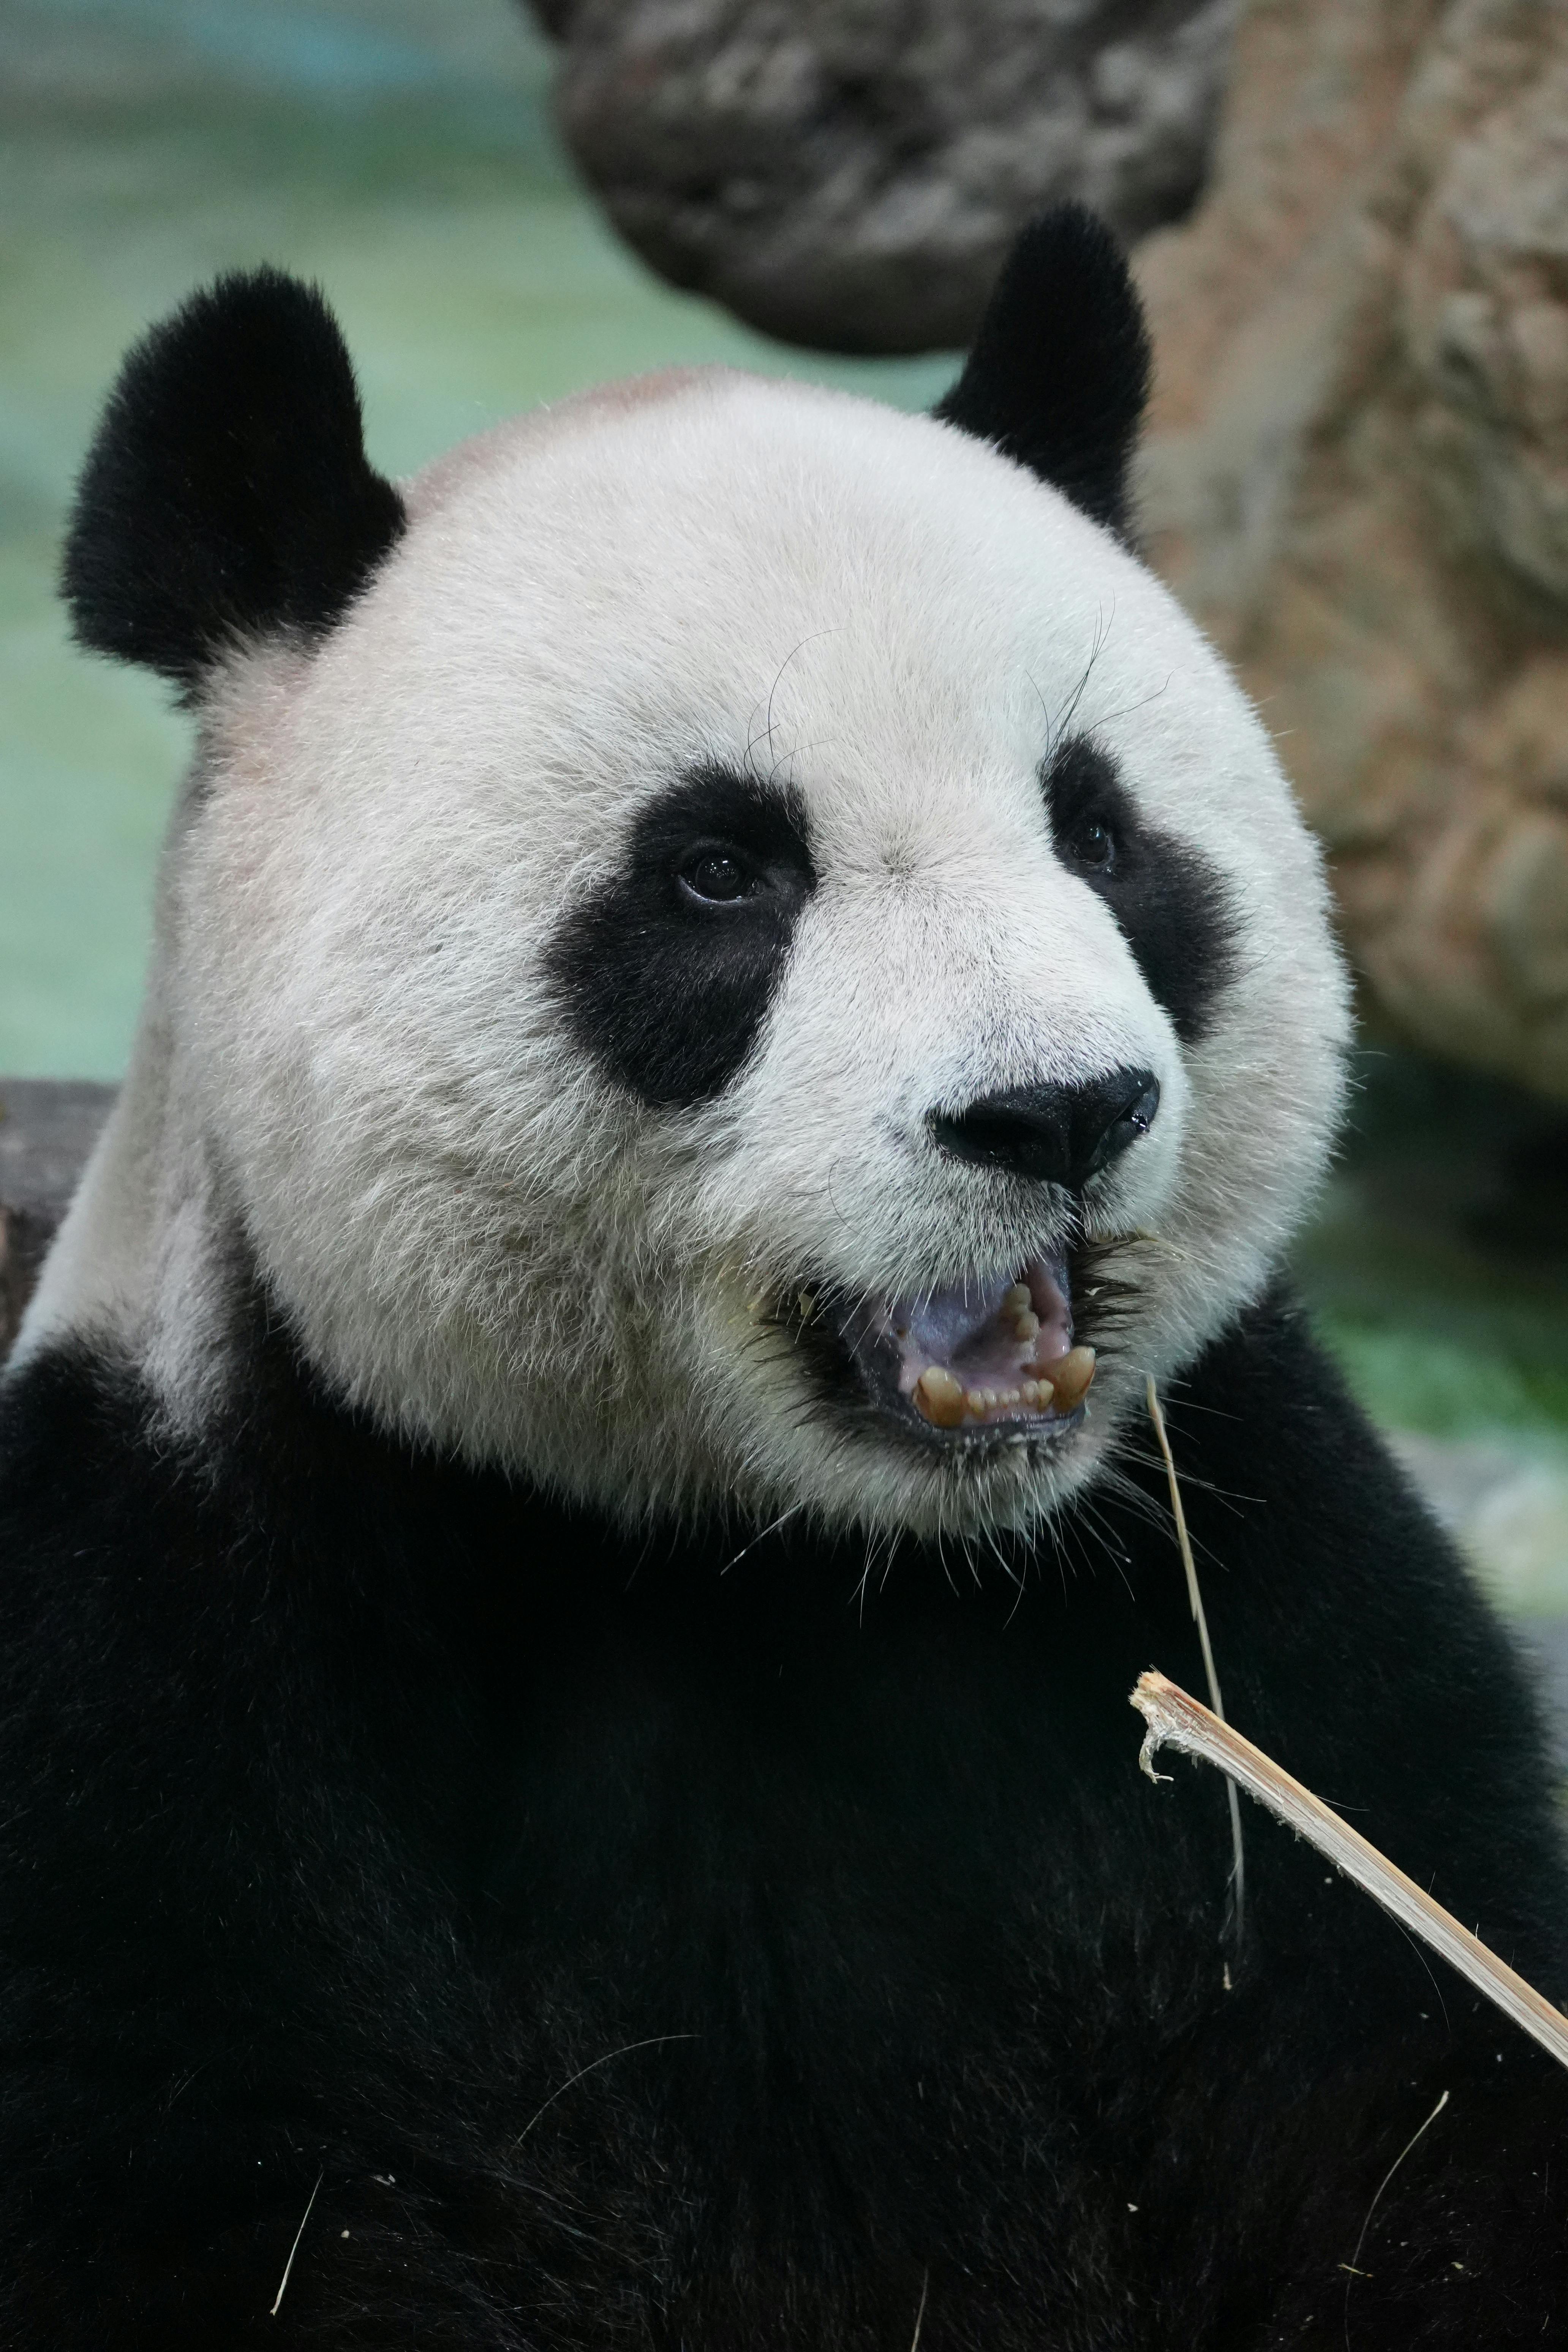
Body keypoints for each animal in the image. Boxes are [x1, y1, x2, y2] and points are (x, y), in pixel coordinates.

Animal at [0, 206, 1563, 2349]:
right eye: (720, 870)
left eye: (1100, 828)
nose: (1055, 1111)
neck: (777, 1568)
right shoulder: (177, 1705)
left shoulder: (1264, 1626)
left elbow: (1413, 2107)